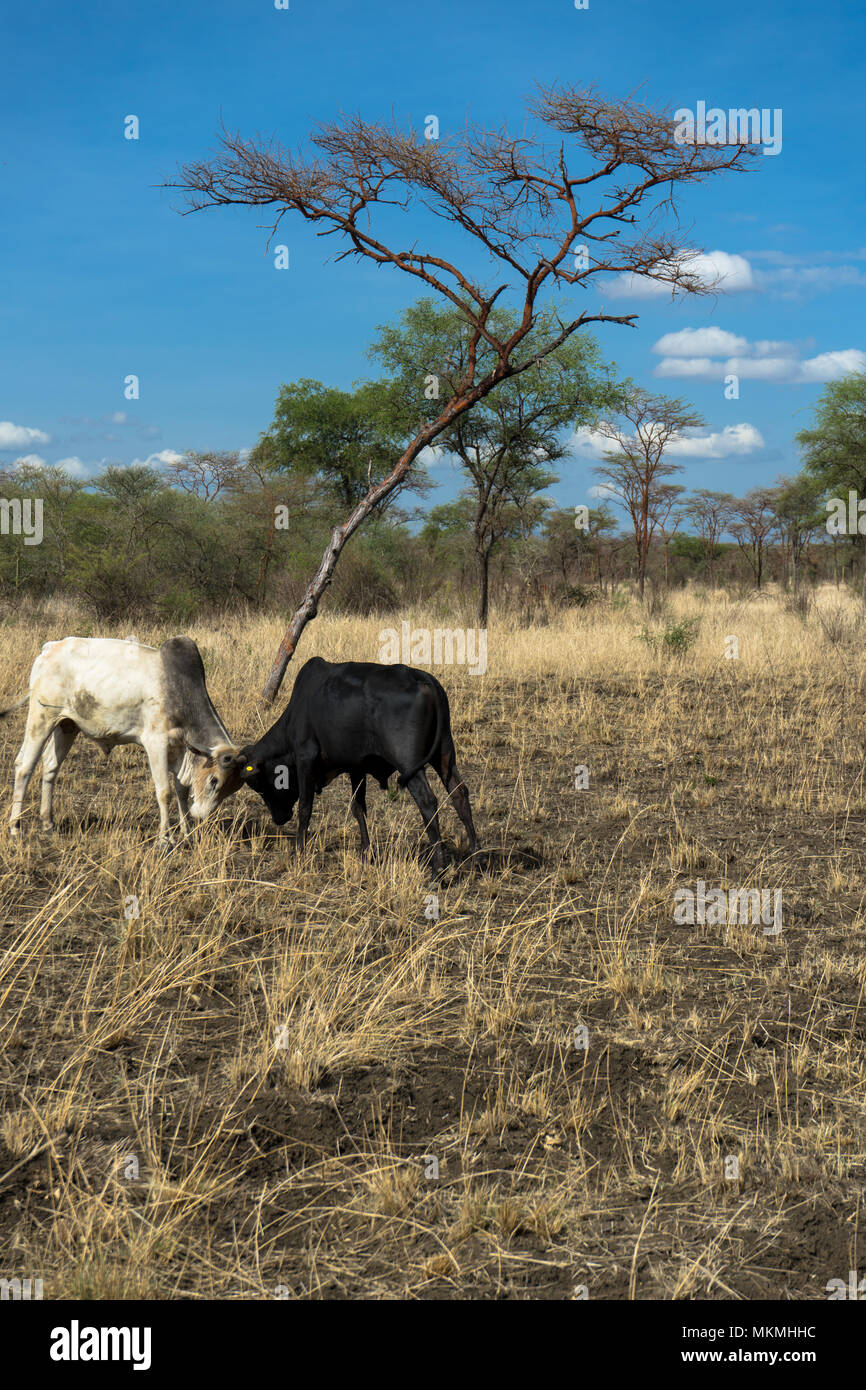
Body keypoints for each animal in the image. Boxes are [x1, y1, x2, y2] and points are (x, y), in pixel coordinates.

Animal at [0, 636, 243, 847]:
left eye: (231, 789)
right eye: (214, 780)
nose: (201, 815)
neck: (179, 690)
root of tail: (49, 648)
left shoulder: (181, 751)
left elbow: (182, 790)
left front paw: (188, 833)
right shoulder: (156, 743)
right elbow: (165, 792)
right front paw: (165, 840)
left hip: (66, 724)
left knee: (51, 766)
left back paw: (48, 823)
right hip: (41, 718)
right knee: (24, 766)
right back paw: (15, 828)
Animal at [236, 657, 479, 874]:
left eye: (259, 785)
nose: (279, 819)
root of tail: (420, 677)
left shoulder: (305, 758)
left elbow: (305, 808)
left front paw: (298, 853)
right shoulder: (357, 768)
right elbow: (358, 808)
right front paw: (366, 852)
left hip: (409, 764)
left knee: (428, 801)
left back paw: (439, 869)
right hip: (444, 755)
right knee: (459, 794)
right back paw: (477, 856)